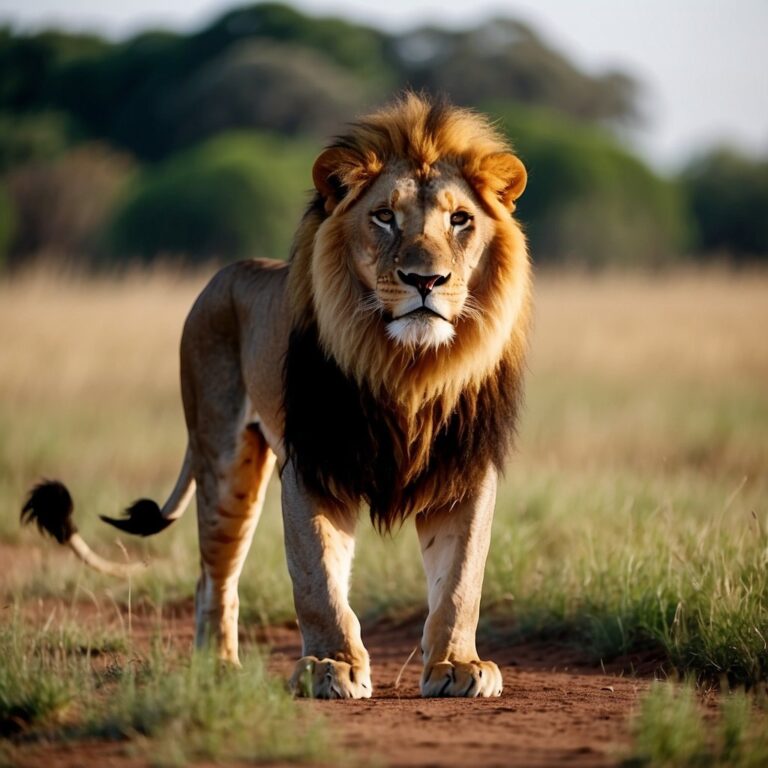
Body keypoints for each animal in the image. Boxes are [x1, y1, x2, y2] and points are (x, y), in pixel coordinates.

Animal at [21, 93, 531, 699]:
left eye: (460, 220)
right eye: (384, 216)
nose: (424, 280)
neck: (410, 368)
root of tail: (225, 274)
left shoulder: (464, 467)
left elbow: (459, 581)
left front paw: (457, 665)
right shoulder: (314, 463)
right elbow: (317, 579)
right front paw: (331, 664)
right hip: (225, 462)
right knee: (212, 576)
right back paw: (218, 671)